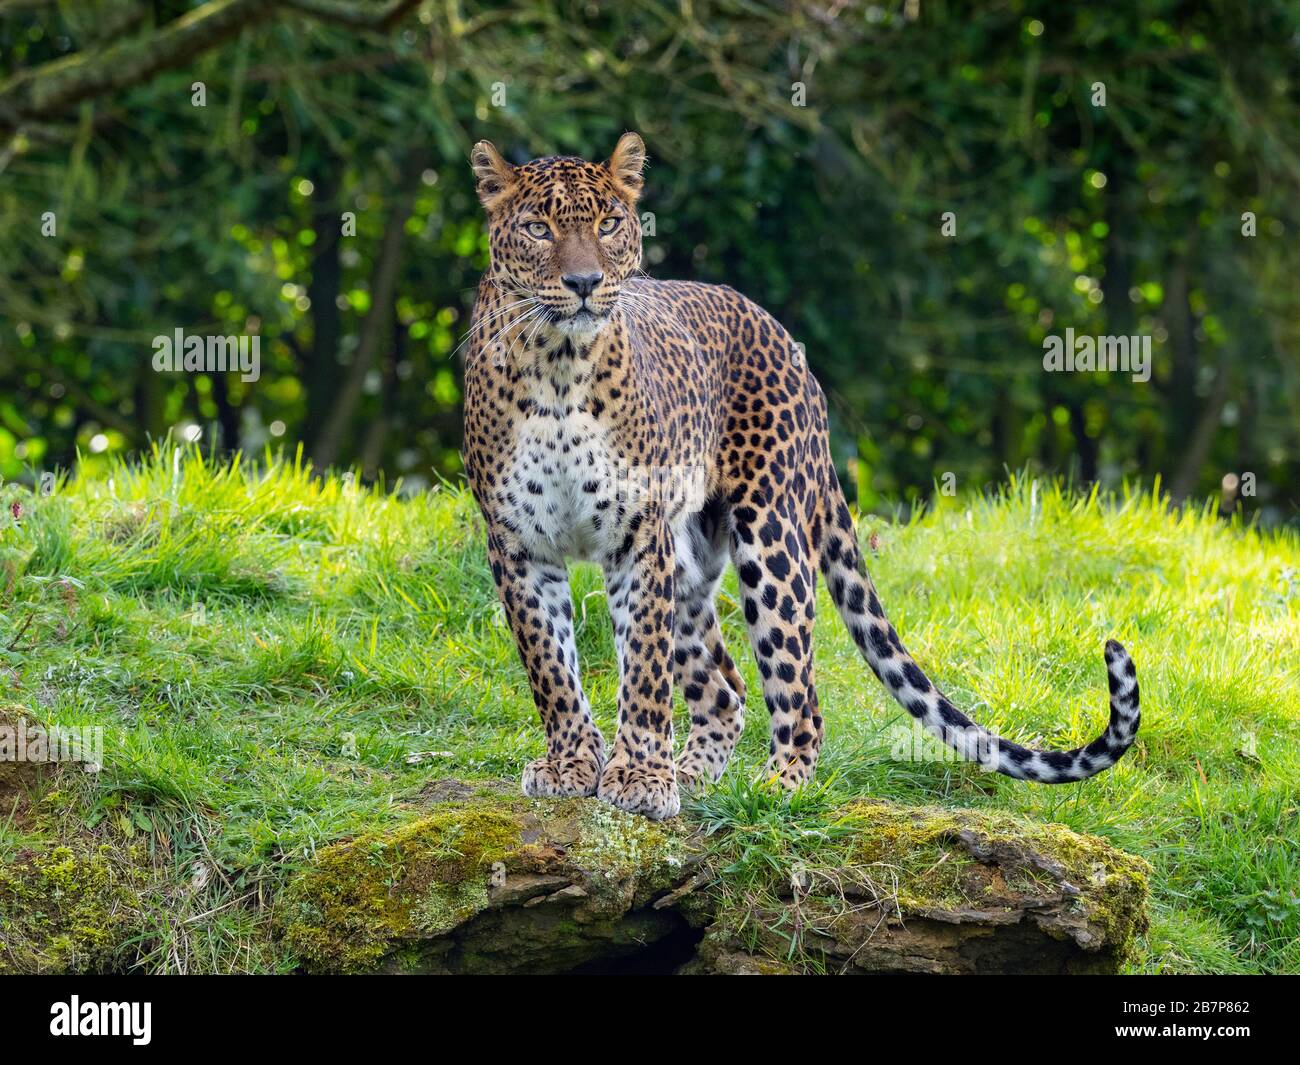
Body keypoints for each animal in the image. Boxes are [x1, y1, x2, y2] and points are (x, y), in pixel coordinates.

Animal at [461, 132, 1141, 820]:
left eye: (608, 224)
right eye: (539, 229)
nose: (584, 282)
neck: (559, 369)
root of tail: (787, 340)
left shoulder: (637, 535)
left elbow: (644, 668)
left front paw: (639, 777)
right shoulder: (517, 543)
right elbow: (549, 665)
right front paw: (572, 764)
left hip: (769, 536)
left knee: (800, 696)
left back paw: (774, 789)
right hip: (691, 564)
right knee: (725, 690)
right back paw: (698, 777)